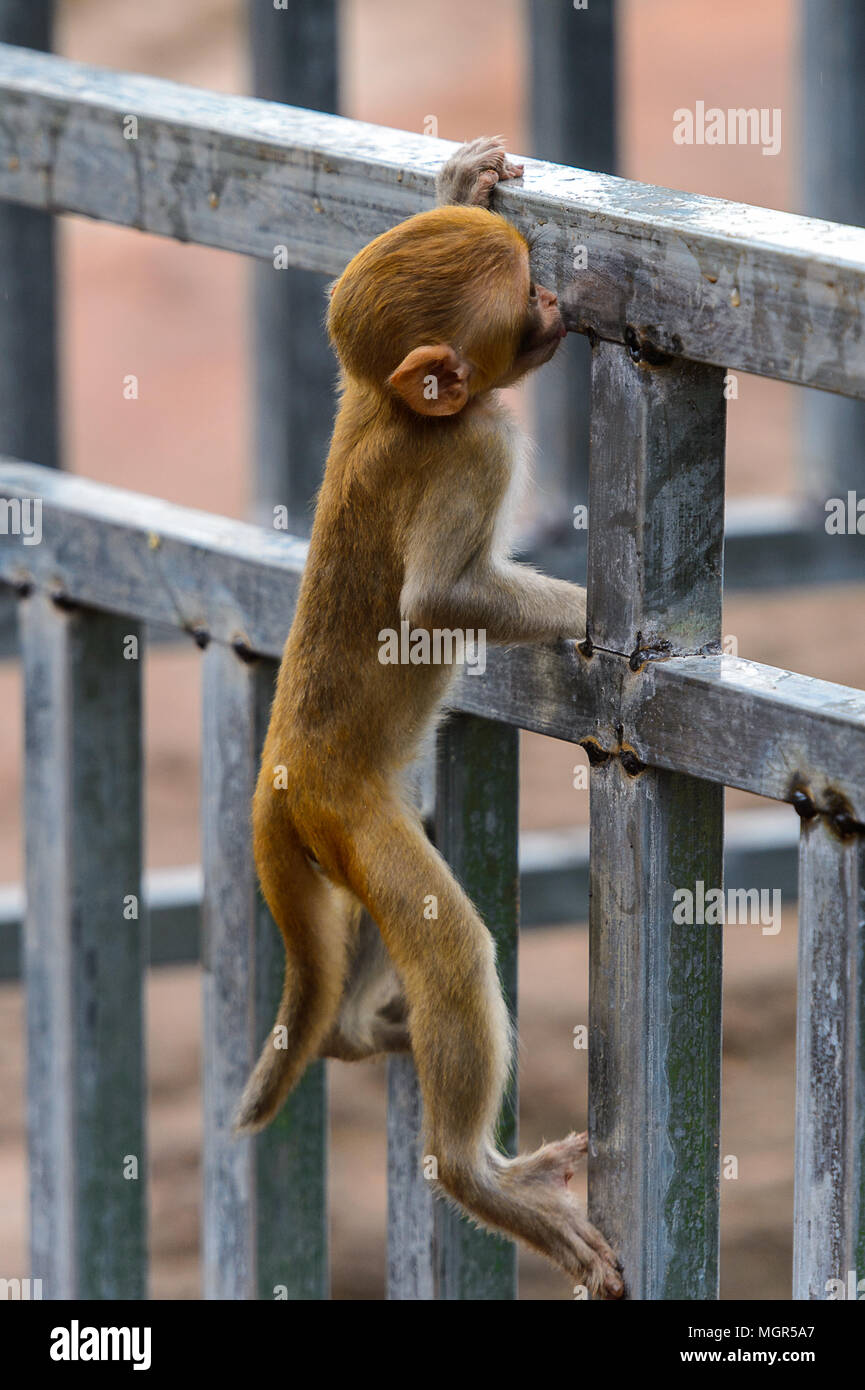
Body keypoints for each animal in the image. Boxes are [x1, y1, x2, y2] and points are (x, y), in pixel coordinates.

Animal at [234, 135, 623, 1299]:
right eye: (521, 294)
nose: (554, 298)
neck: (406, 410)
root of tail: (283, 772)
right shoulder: (476, 444)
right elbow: (436, 601)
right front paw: (600, 623)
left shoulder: (363, 403)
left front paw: (453, 189)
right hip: (353, 813)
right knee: (450, 948)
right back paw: (474, 1176)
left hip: (351, 828)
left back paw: (362, 1031)